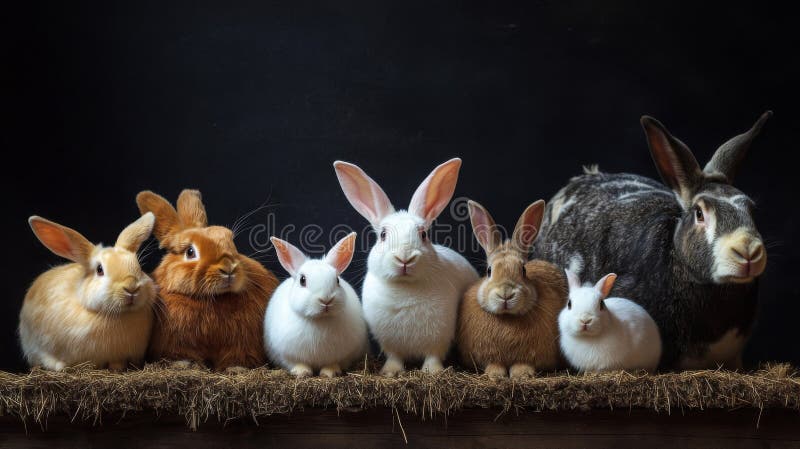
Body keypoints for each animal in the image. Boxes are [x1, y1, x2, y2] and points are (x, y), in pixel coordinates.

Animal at [19, 213, 157, 371]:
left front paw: (116, 368)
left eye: (139, 267)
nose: (131, 287)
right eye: (99, 270)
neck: (119, 315)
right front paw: (60, 366)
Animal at [136, 189, 279, 371]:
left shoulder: (242, 344)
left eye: (232, 243)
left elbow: (238, 357)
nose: (228, 268)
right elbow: (182, 354)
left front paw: (236, 369)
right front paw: (184, 365)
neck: (212, 298)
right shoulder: (177, 343)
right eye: (190, 252)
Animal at [264, 232, 369, 377]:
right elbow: (296, 363)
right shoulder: (285, 354)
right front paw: (301, 372)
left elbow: (334, 363)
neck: (319, 319)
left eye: (337, 280)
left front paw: (329, 373)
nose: (326, 300)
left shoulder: (346, 355)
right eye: (302, 280)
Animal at [333, 158, 479, 376]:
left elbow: (433, 355)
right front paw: (389, 372)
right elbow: (395, 357)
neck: (404, 287)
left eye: (423, 234)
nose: (405, 258)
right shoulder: (389, 341)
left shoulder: (440, 335)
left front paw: (432, 371)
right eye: (383, 235)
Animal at [456, 200, 567, 378]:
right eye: (489, 271)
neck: (507, 318)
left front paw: (521, 374)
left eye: (523, 270)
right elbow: (494, 364)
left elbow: (524, 364)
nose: (505, 294)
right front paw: (495, 374)